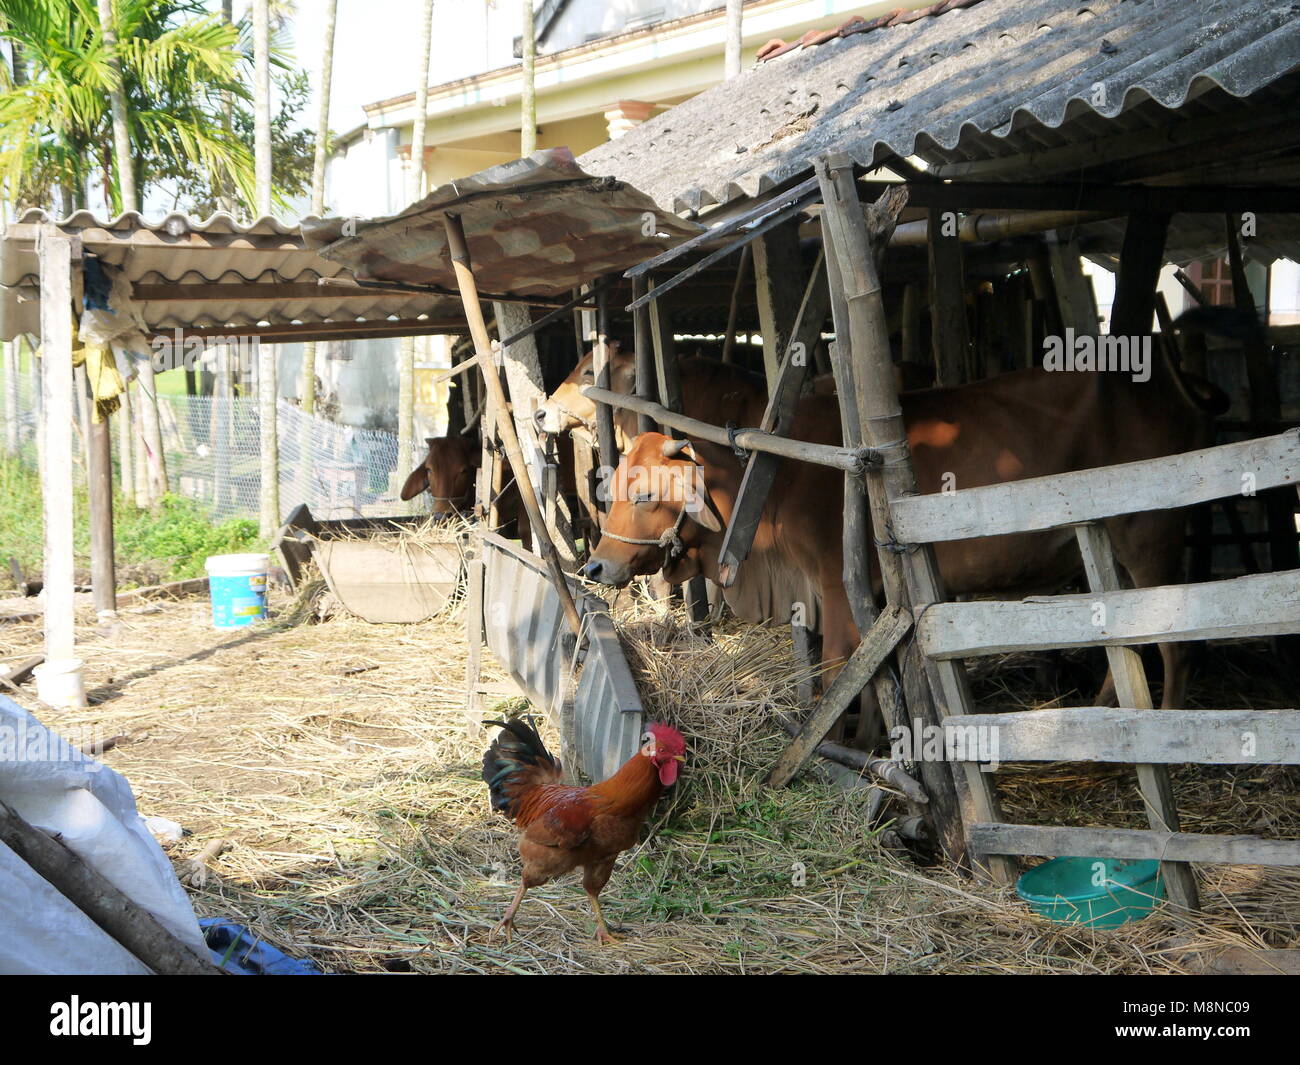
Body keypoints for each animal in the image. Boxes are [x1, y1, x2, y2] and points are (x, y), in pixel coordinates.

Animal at [580, 360, 1226, 711]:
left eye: (645, 496)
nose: (595, 567)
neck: (770, 482)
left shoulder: (839, 591)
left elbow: (839, 676)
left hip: (1149, 537)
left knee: (1176, 645)